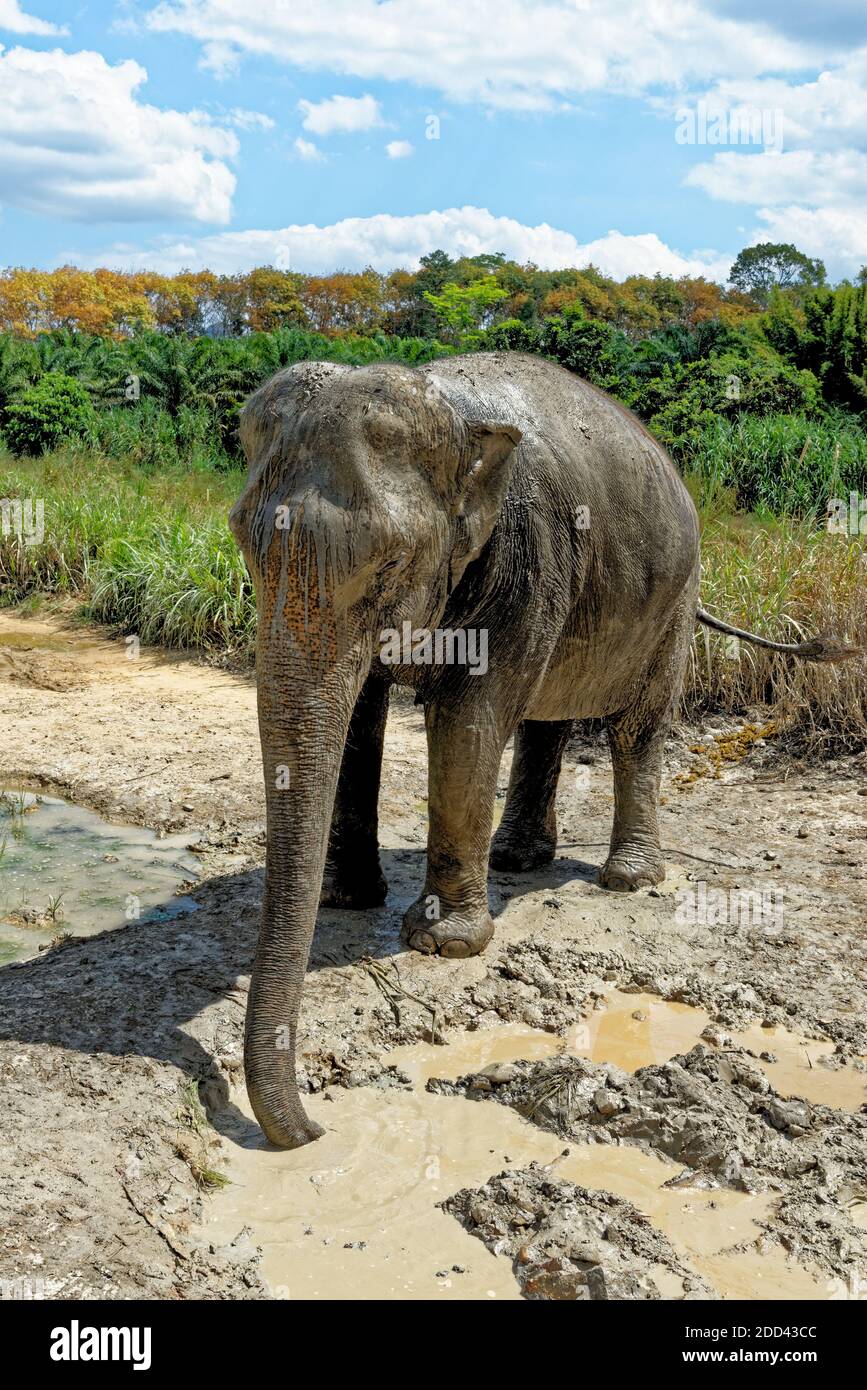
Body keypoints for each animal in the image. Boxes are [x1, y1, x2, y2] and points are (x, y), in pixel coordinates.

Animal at [229, 350, 851, 1149]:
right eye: (245, 542)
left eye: (392, 562)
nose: (312, 1130)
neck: (455, 414)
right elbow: (360, 721)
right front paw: (345, 901)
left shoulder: (528, 551)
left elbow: (469, 720)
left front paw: (443, 945)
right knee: (544, 717)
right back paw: (516, 860)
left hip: (674, 598)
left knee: (636, 727)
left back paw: (626, 878)